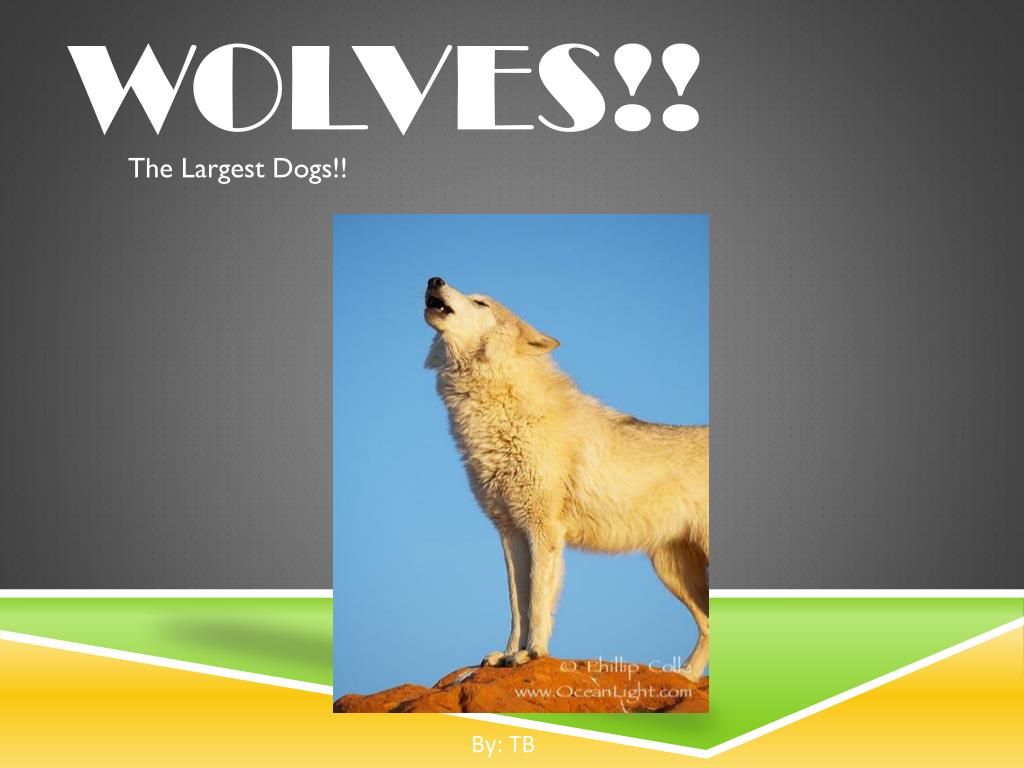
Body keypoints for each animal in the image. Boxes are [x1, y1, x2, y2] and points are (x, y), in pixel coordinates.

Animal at [423, 276, 709, 680]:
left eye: (481, 303)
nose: (434, 280)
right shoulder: (511, 532)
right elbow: (517, 602)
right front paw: (507, 653)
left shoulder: (543, 529)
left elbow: (538, 598)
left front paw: (531, 654)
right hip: (671, 570)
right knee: (709, 624)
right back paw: (684, 677)